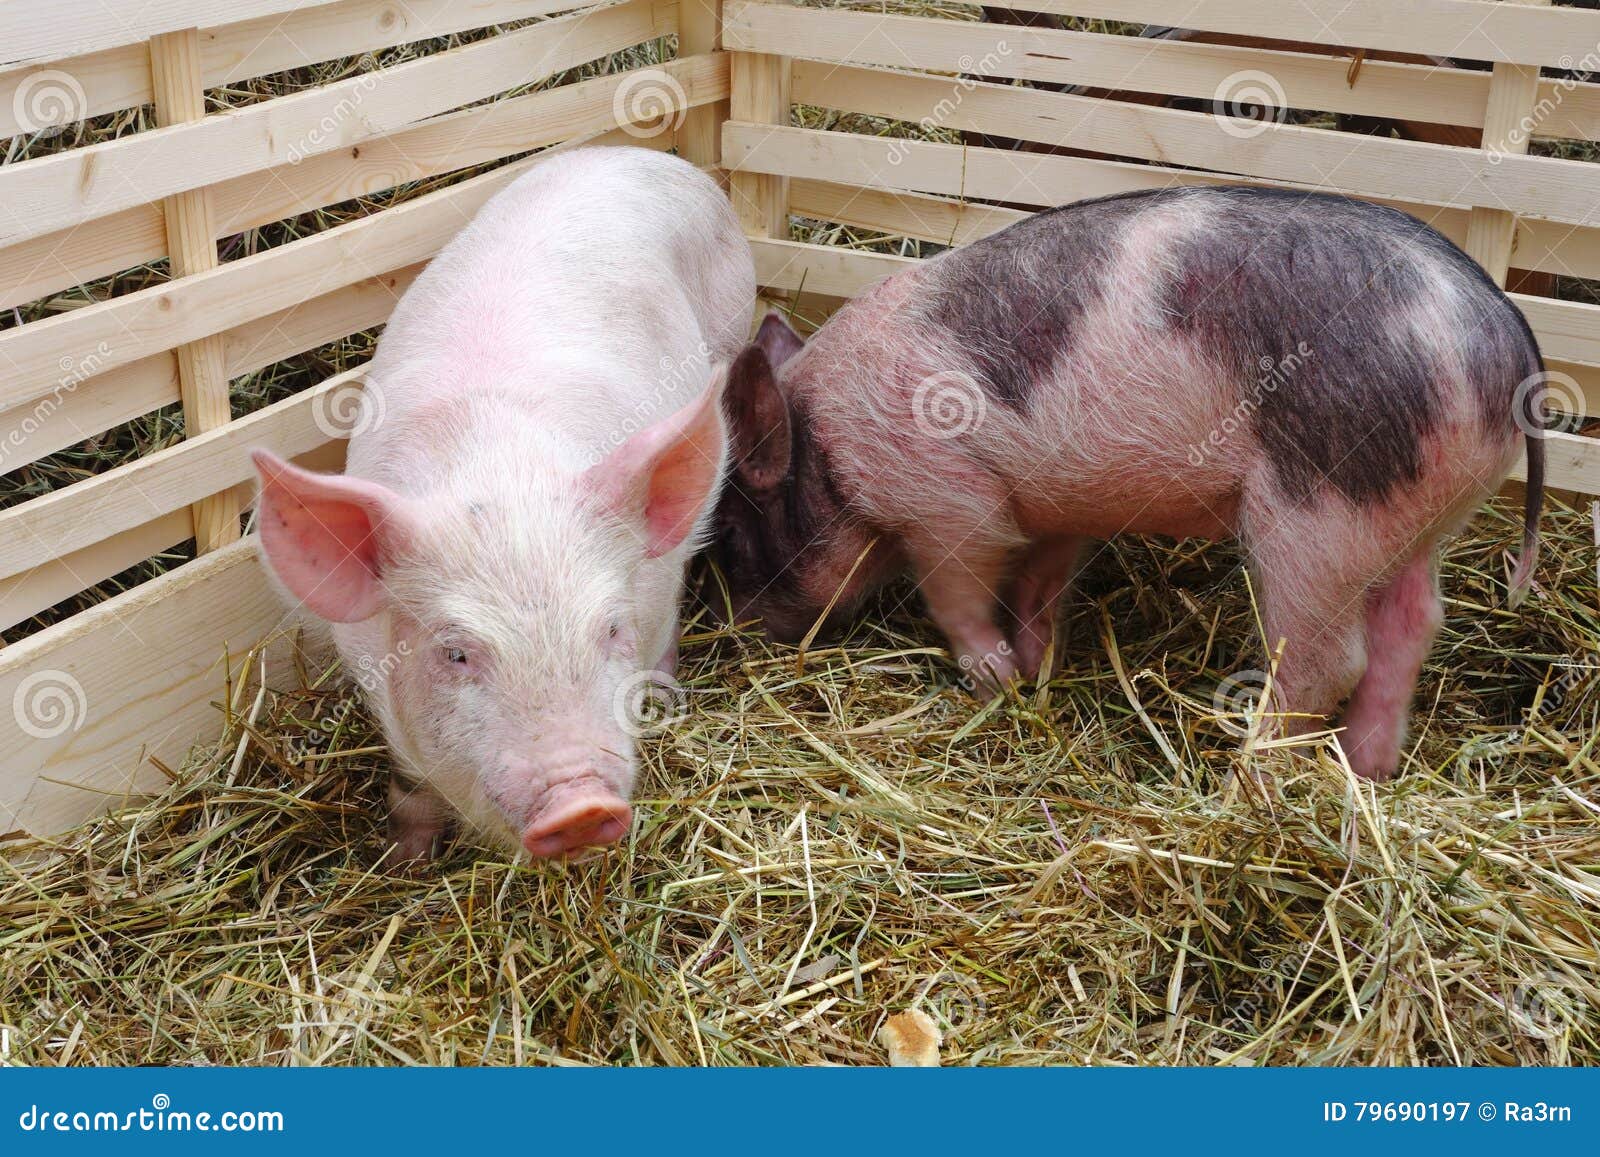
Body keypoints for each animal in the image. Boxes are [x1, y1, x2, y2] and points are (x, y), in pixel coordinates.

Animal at [251, 146, 754, 860]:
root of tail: (653, 156)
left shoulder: (659, 595)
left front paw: (663, 701)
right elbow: (410, 789)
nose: (580, 804)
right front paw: (405, 861)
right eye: (456, 653)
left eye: (610, 629)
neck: (501, 475)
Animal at [711, 186, 1544, 781]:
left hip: (1319, 515)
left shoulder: (949, 504)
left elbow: (958, 596)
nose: (740, 632)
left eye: (734, 536)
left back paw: (1243, 785)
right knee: (1414, 623)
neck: (826, 444)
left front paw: (996, 681)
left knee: (1326, 663)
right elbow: (1040, 586)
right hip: (1415, 514)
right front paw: (1037, 666)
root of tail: (1502, 331)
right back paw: (1368, 769)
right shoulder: (1051, 509)